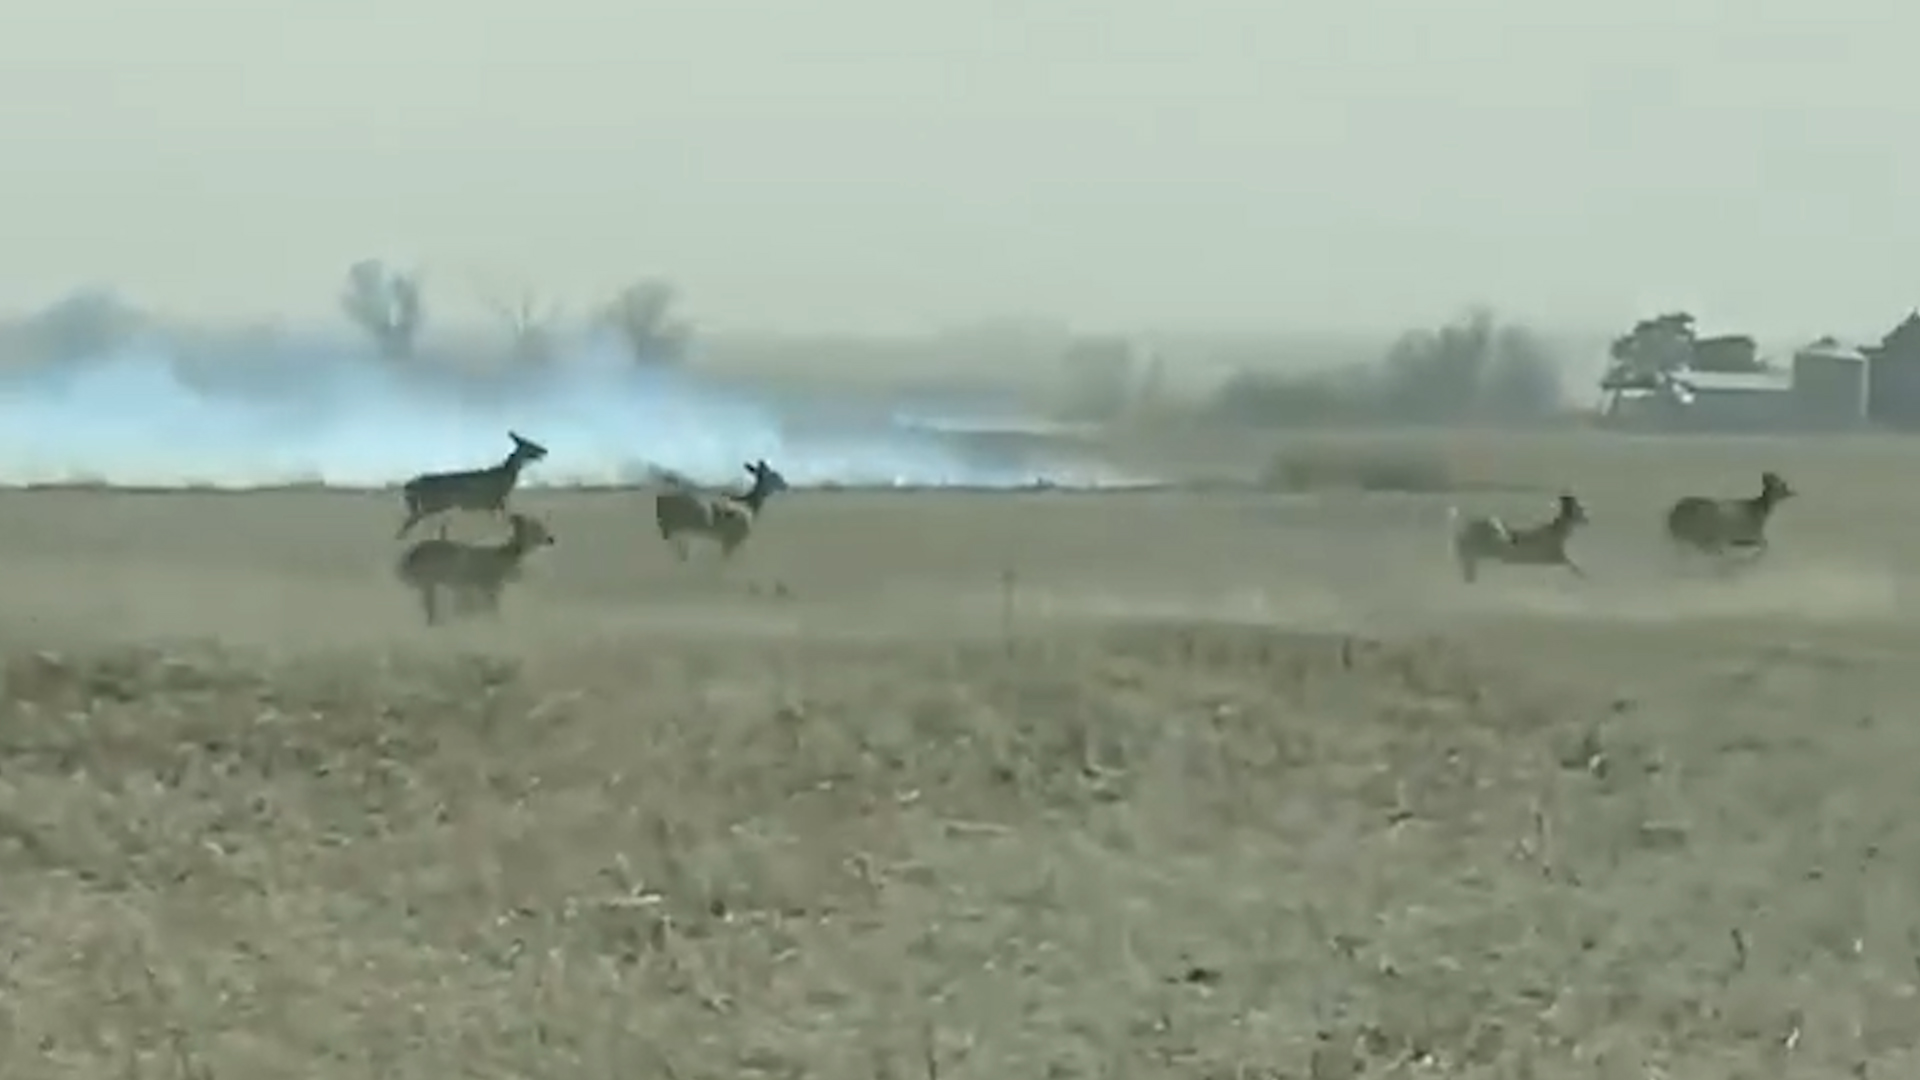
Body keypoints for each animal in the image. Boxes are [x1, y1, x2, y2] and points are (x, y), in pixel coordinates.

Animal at [395, 431, 548, 539]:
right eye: (529, 444)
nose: (545, 450)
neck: (505, 476)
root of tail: (409, 485)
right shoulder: (496, 500)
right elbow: (505, 522)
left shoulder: (492, 504)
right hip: (432, 505)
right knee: (410, 524)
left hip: (431, 506)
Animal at [395, 512, 556, 626]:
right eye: (535, 527)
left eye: (541, 525)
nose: (550, 539)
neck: (503, 553)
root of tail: (411, 553)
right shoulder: (487, 588)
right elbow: (493, 612)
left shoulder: (481, 589)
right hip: (428, 583)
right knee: (430, 610)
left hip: (429, 585)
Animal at [655, 459, 789, 562]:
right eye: (773, 475)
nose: (785, 485)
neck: (747, 504)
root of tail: (660, 497)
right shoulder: (730, 541)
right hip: (675, 529)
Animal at [1447, 493, 1590, 583]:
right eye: (1579, 510)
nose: (1587, 520)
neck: (1557, 534)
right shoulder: (1554, 557)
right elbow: (1572, 565)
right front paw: (1585, 577)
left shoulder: (1554, 557)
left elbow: (1571, 564)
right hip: (1481, 547)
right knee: (1465, 546)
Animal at [1665, 471, 1795, 564]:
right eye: (1783, 485)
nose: (1792, 492)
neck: (1760, 509)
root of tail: (1672, 514)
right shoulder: (1755, 533)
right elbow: (1764, 544)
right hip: (1698, 535)